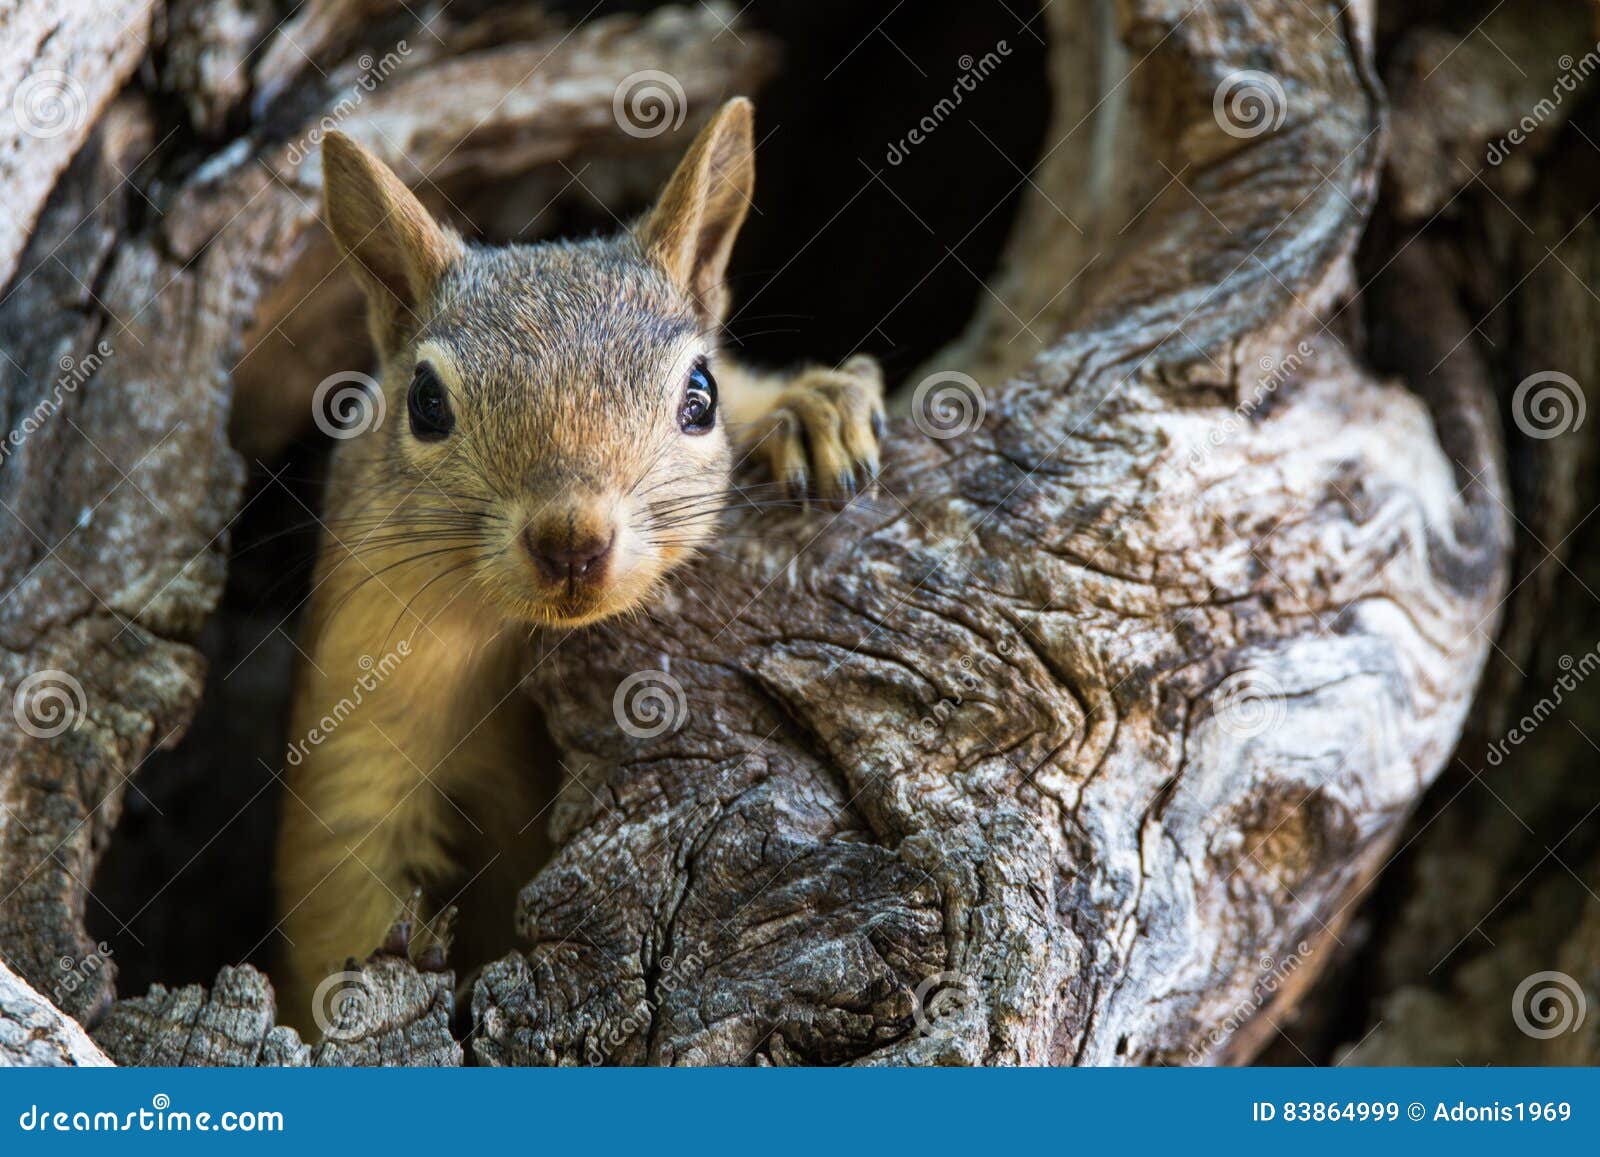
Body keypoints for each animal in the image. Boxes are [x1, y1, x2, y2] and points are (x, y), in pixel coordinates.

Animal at [272, 98, 884, 1033]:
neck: (503, 639)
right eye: (424, 402)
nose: (572, 540)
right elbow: (342, 874)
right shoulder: (357, 705)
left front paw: (815, 408)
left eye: (702, 393)